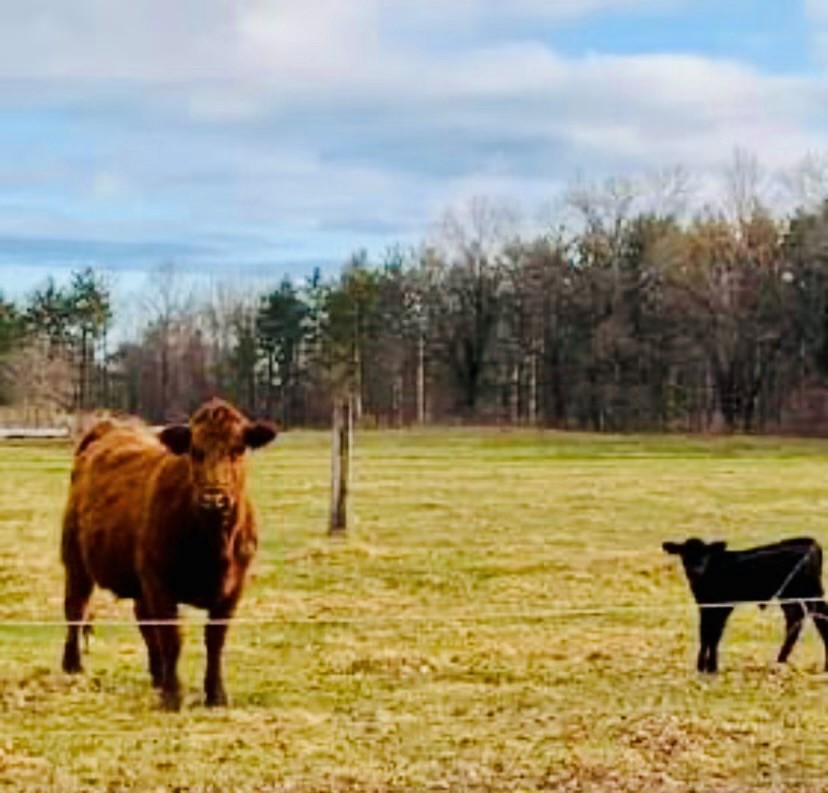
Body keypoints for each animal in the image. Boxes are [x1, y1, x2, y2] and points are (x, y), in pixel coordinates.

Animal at [61, 398, 278, 710]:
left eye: (238, 449)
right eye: (195, 451)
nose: (214, 498)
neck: (213, 544)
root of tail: (110, 428)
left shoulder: (233, 587)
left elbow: (215, 640)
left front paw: (216, 695)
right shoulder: (159, 581)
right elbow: (172, 636)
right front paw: (174, 696)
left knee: (143, 621)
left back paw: (157, 677)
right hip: (76, 561)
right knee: (75, 609)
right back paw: (73, 666)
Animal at [663, 537, 828, 673]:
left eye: (705, 553)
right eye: (684, 553)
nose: (695, 569)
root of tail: (810, 542)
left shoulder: (723, 605)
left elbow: (714, 634)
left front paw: (710, 667)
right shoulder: (706, 606)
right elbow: (705, 633)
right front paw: (702, 666)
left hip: (810, 591)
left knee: (819, 619)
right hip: (789, 596)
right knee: (796, 621)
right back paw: (780, 663)